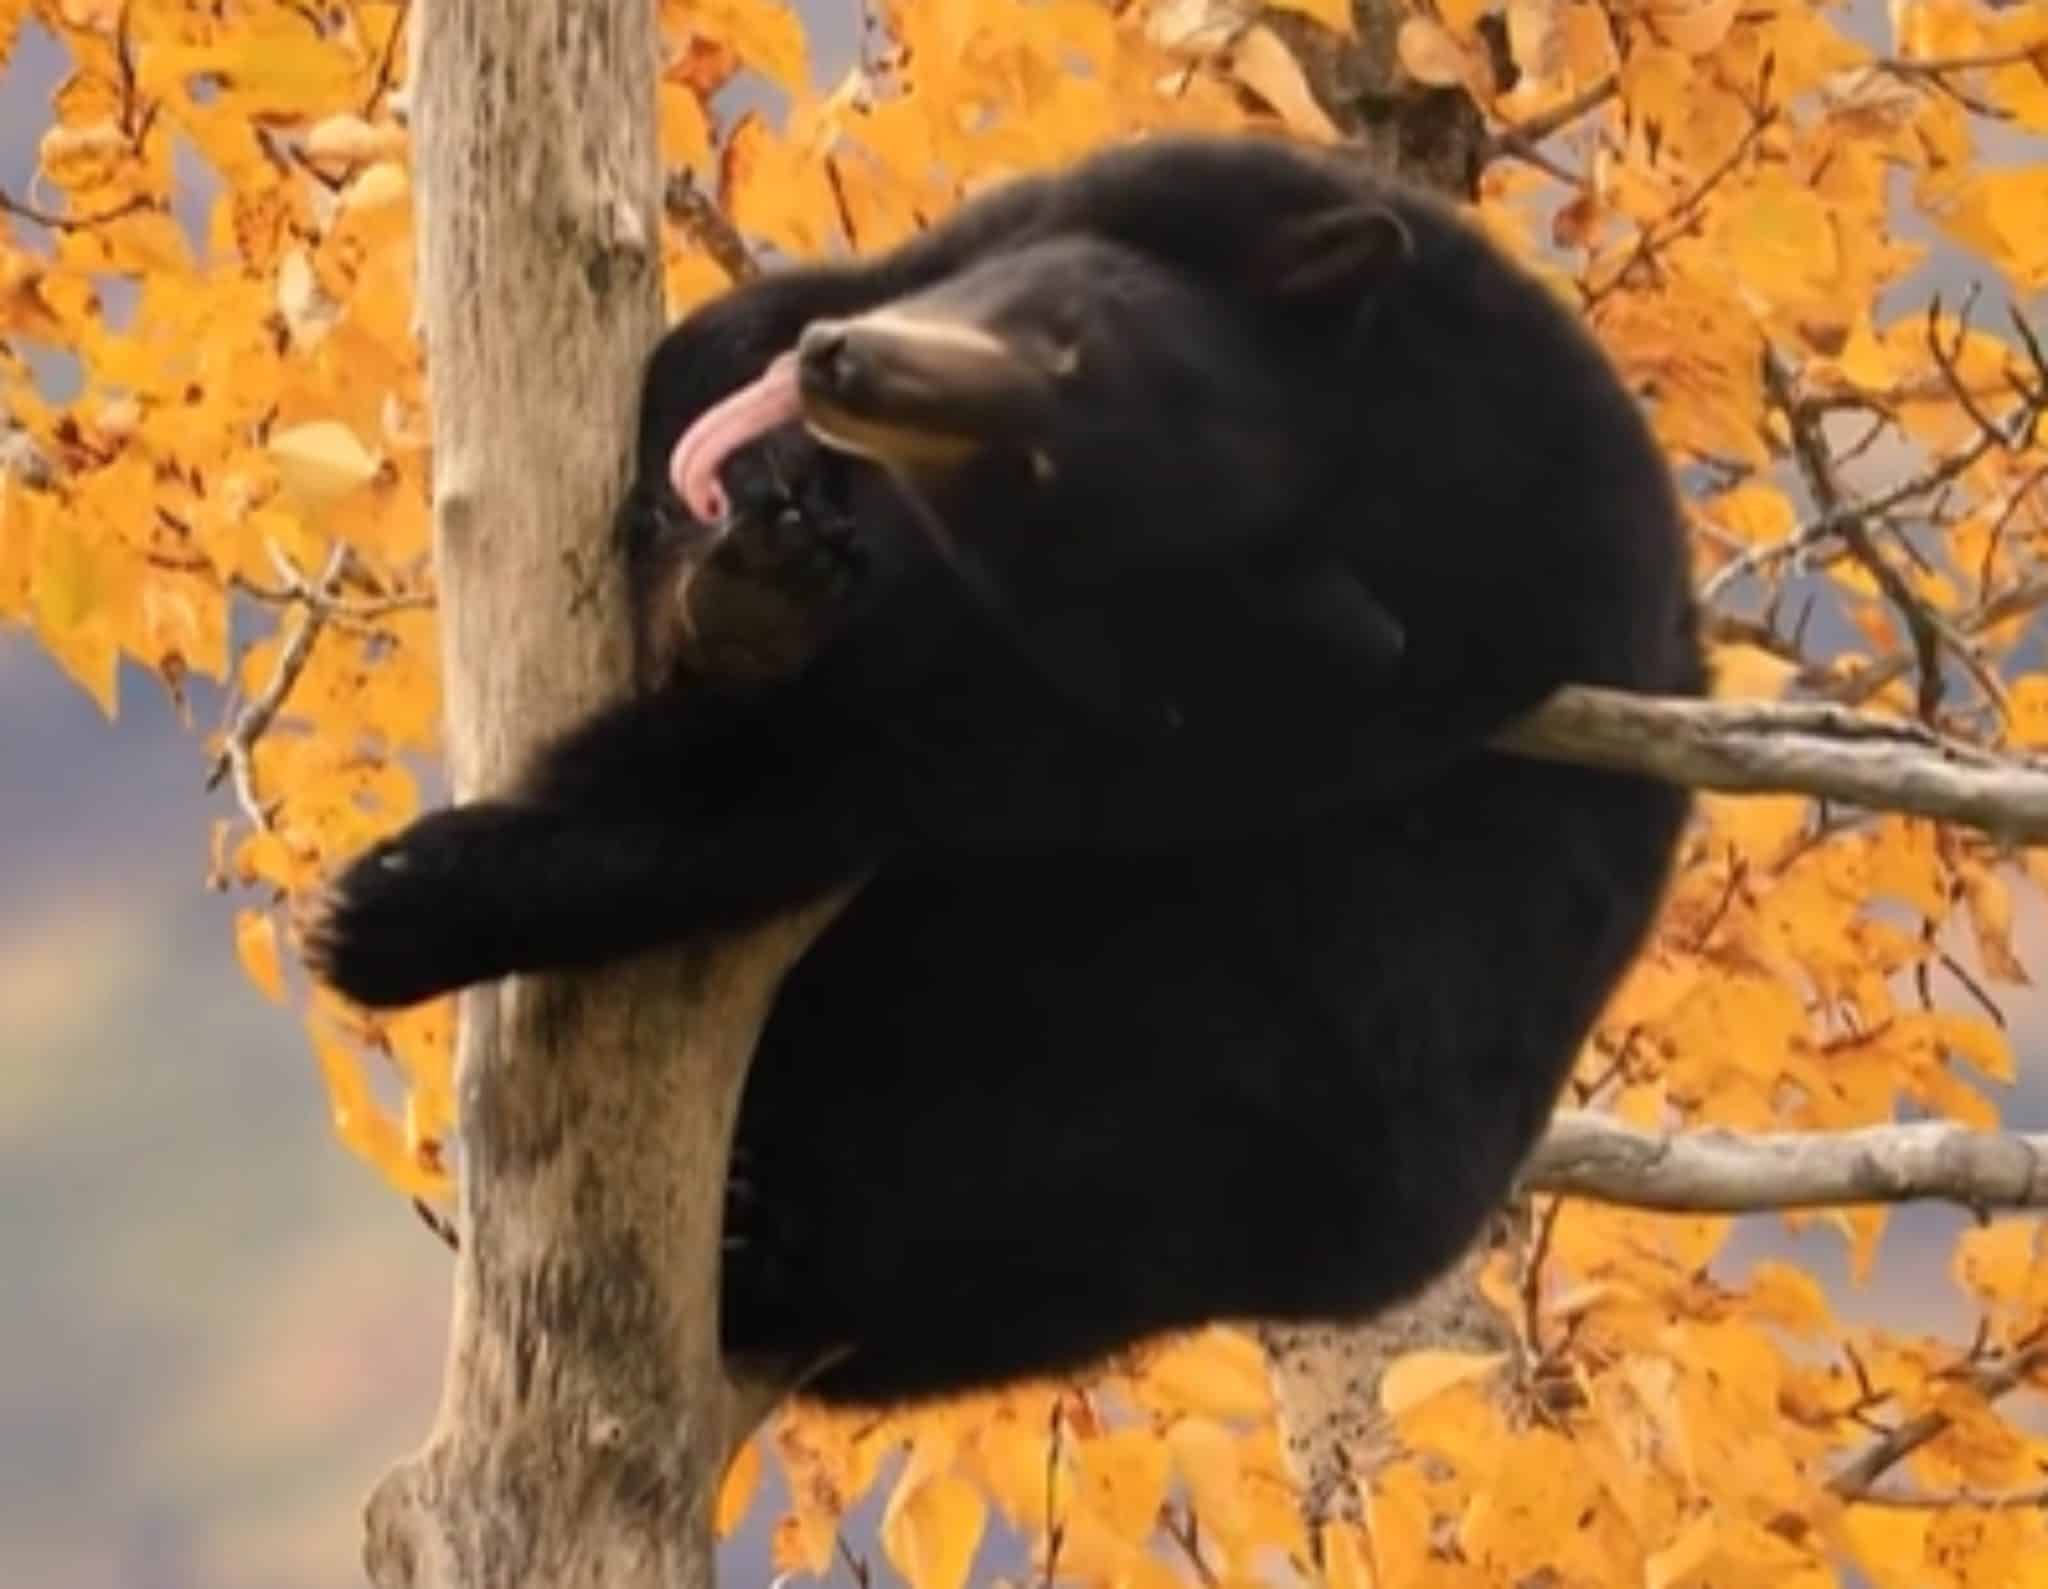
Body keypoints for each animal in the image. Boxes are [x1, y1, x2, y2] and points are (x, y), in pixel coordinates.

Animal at [305, 132, 1705, 1407]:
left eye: (1031, 480)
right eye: (1055, 329)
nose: (846, 369)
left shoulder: (1258, 713)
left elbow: (798, 786)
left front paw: (397, 905)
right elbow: (724, 351)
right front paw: (738, 555)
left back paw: (764, 1238)